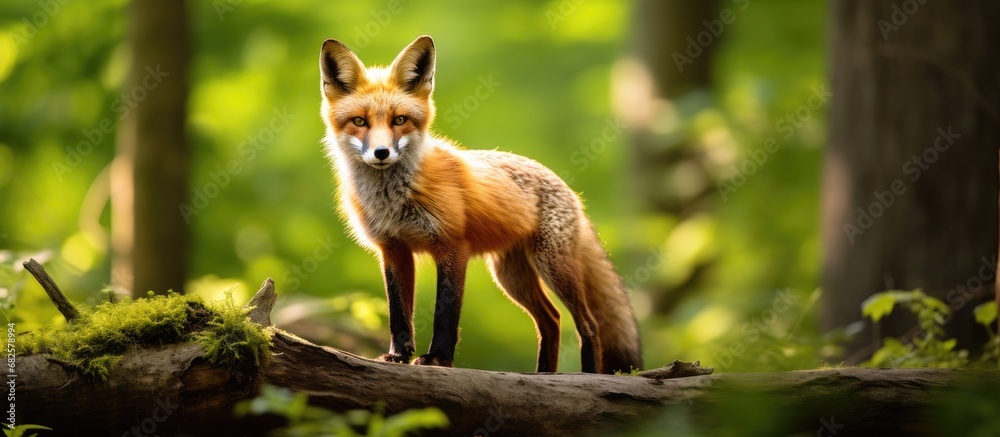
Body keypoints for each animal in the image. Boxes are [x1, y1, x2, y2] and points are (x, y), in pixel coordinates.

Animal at [318, 35, 641, 374]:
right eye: (359, 121)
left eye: (400, 120)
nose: (381, 153)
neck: (393, 200)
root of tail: (569, 189)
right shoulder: (393, 249)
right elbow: (398, 311)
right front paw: (398, 355)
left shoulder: (452, 245)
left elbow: (445, 312)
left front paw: (438, 358)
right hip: (511, 276)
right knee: (552, 320)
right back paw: (543, 373)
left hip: (552, 265)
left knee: (588, 323)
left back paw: (585, 374)